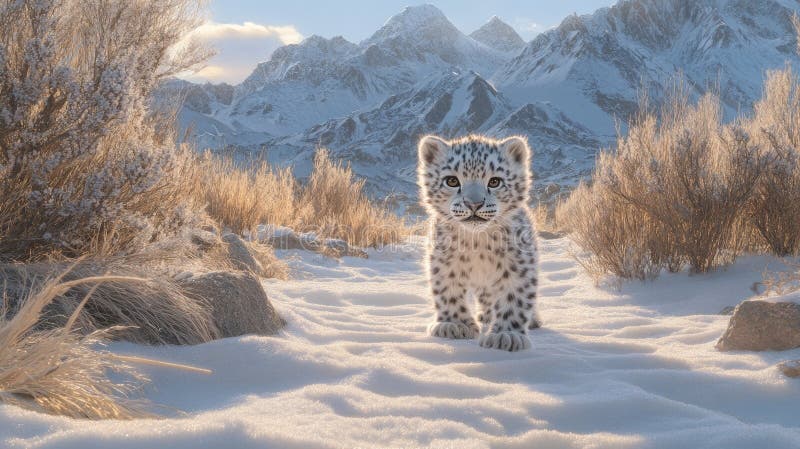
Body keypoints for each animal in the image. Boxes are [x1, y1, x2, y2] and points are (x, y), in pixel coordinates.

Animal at [417, 134, 540, 351]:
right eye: (451, 180)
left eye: (494, 181)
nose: (474, 203)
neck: (478, 243)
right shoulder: (444, 262)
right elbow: (447, 290)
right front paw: (454, 325)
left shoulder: (518, 265)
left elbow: (514, 297)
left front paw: (506, 335)